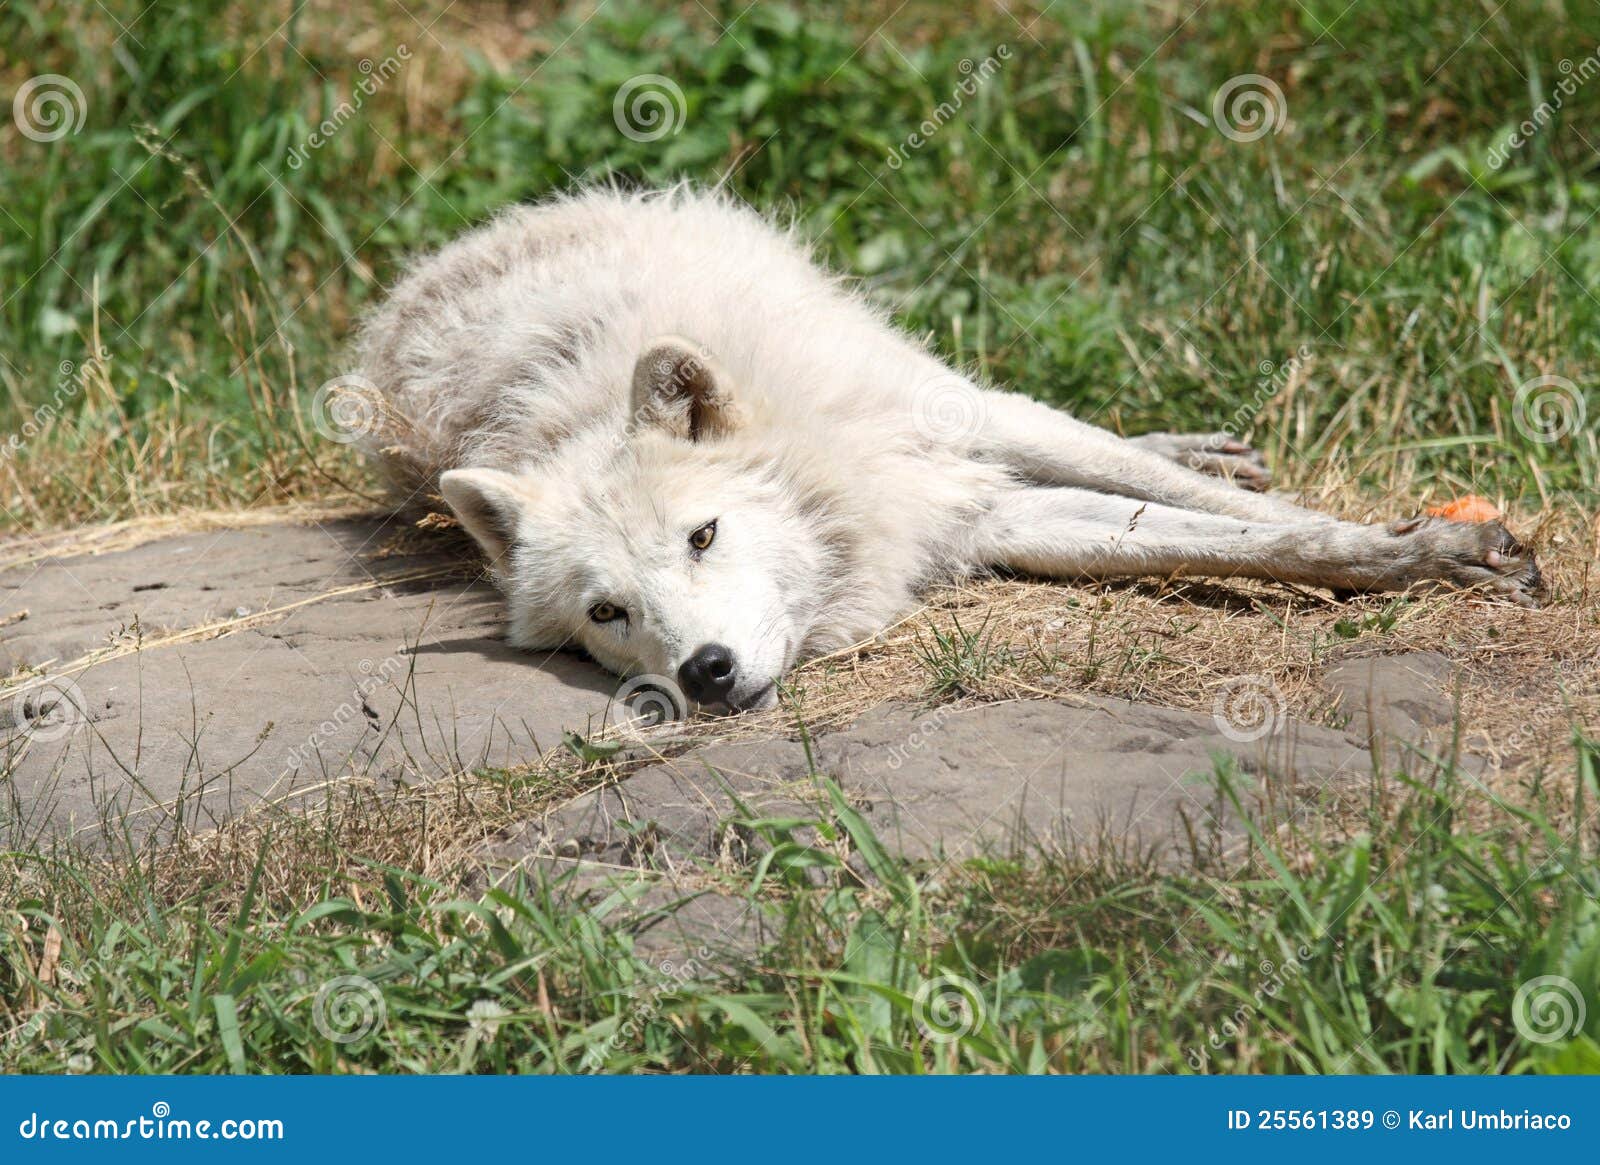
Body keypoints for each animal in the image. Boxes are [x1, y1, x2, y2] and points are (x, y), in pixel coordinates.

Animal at [356, 186, 1542, 713]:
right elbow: (1216, 540)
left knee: (1103, 439)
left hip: (958, 393)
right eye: (606, 614)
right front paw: (1410, 554)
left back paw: (1203, 446)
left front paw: (1438, 547)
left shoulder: (964, 437)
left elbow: (1261, 523)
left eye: (703, 536)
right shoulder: (985, 518)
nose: (704, 672)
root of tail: (433, 267)